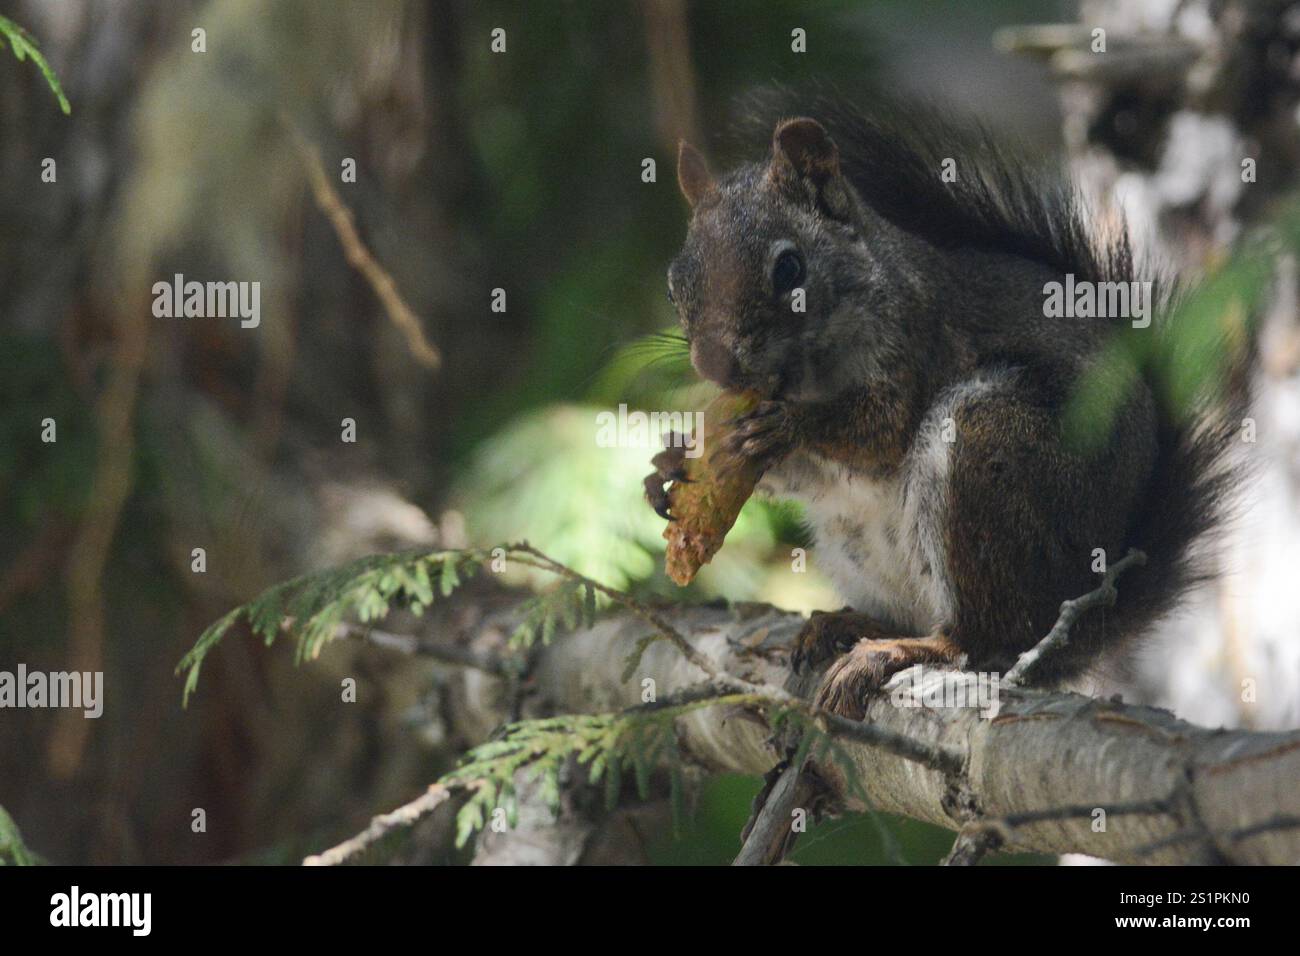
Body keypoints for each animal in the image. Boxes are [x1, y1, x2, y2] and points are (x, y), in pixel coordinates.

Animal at [644, 92, 1250, 720]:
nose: (714, 366)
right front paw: (669, 467)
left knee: (978, 640)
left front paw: (789, 425)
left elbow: (881, 428)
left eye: (789, 268)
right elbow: (802, 476)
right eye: (674, 283)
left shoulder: (919, 339)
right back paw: (849, 624)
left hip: (991, 451)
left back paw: (897, 650)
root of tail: (1083, 618)